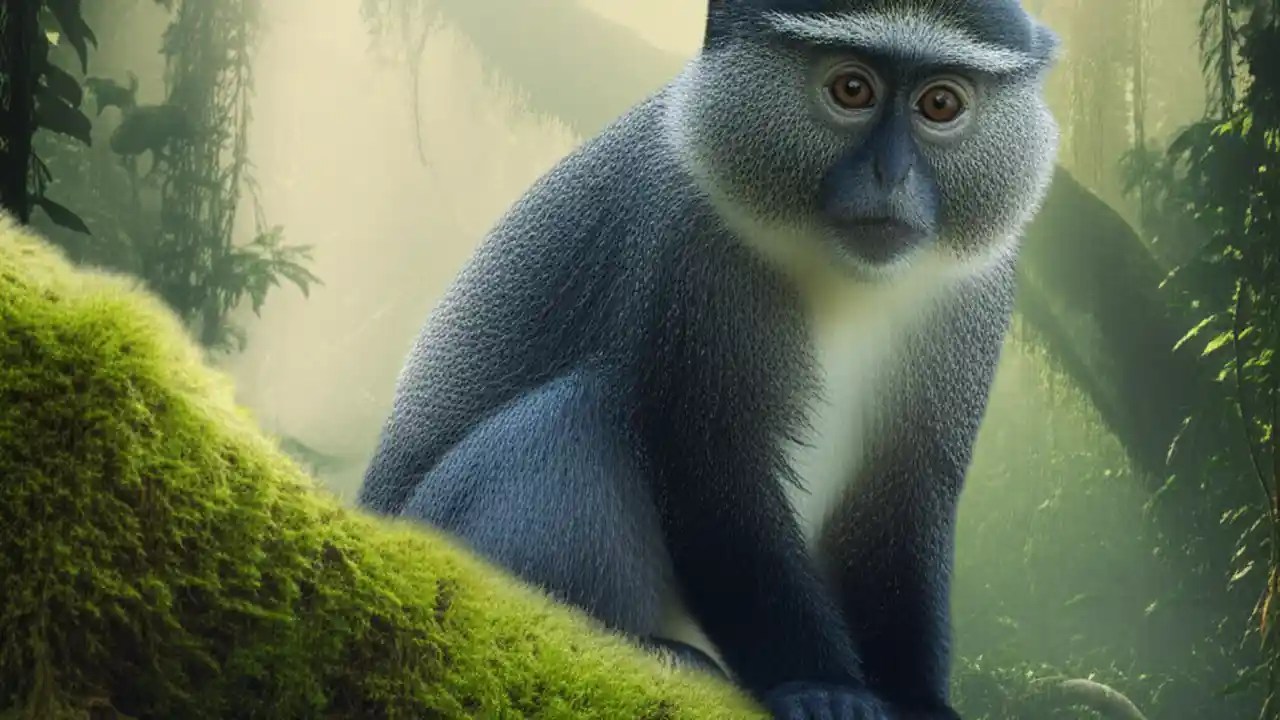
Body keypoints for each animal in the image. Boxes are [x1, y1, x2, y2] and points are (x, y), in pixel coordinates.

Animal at [358, 1, 1059, 718]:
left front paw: (916, 698)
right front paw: (820, 685)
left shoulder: (973, 298)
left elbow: (905, 500)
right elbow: (711, 470)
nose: (891, 174)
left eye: (941, 103)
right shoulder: (686, 239)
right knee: (575, 413)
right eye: (851, 89)